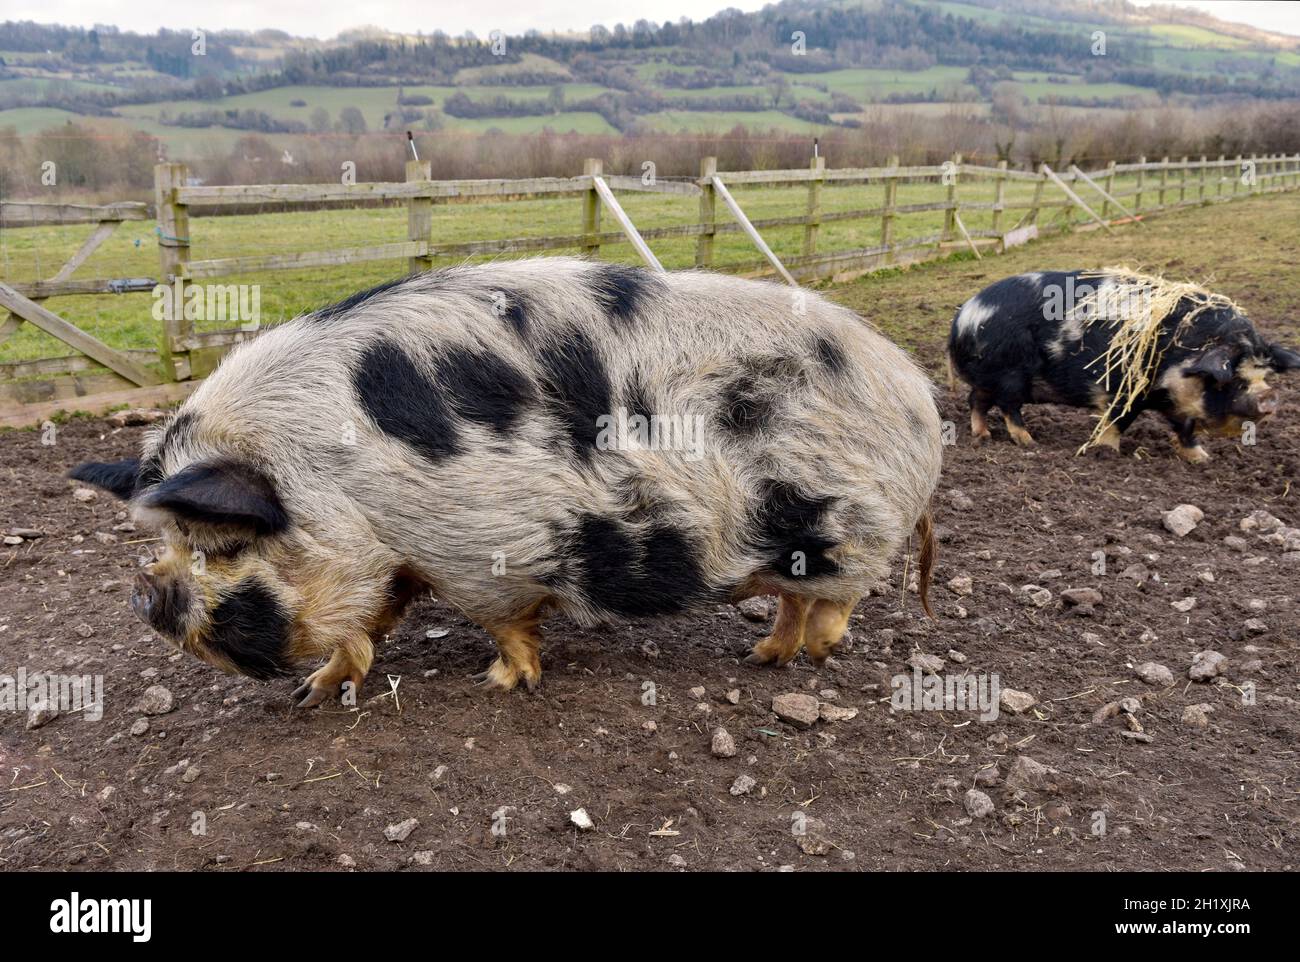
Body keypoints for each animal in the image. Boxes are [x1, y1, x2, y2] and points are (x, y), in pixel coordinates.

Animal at [70, 257, 942, 706]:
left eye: (220, 544)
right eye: (169, 541)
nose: (145, 590)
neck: (335, 482)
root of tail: (919, 395)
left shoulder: (476, 548)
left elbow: (502, 622)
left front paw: (500, 681)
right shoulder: (395, 557)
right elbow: (367, 625)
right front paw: (314, 693)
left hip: (843, 529)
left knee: (835, 606)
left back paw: (798, 658)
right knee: (794, 605)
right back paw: (761, 659)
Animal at [948, 269, 1300, 462]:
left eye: (1264, 374)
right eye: (1232, 379)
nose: (1269, 397)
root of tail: (964, 317)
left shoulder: (1178, 403)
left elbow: (1185, 430)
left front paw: (1202, 459)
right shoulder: (1125, 389)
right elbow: (1118, 421)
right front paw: (1107, 452)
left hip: (989, 378)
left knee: (977, 400)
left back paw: (983, 436)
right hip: (1010, 374)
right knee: (1009, 407)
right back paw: (1028, 441)